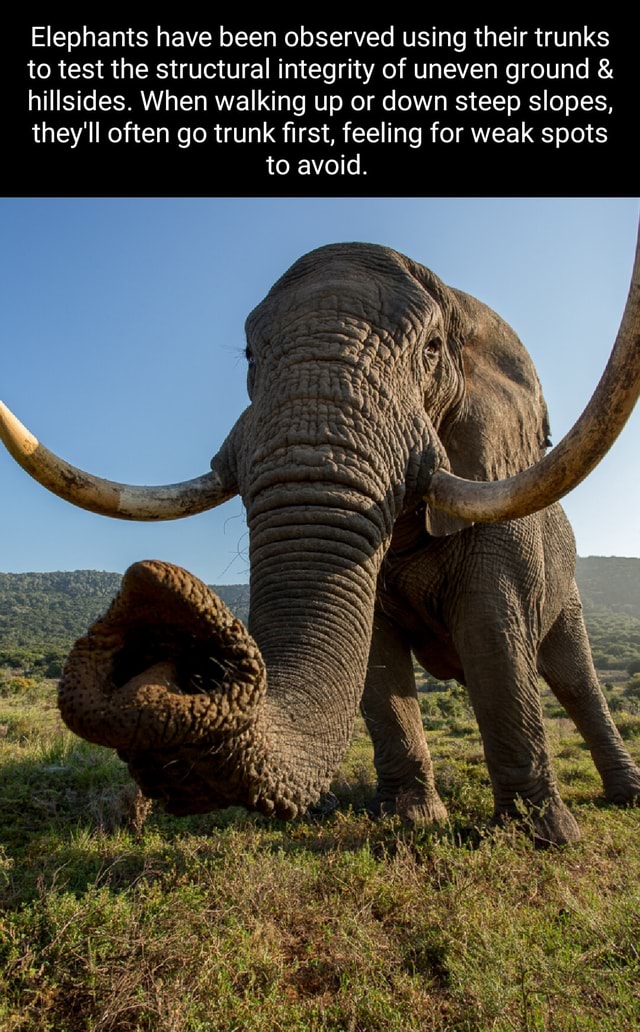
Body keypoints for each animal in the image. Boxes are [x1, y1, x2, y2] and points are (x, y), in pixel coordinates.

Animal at [2, 235, 640, 847]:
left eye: (432, 350)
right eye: (250, 356)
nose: (156, 610)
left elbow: (494, 639)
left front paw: (541, 838)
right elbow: (377, 658)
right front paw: (410, 821)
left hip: (568, 584)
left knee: (575, 679)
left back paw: (622, 797)